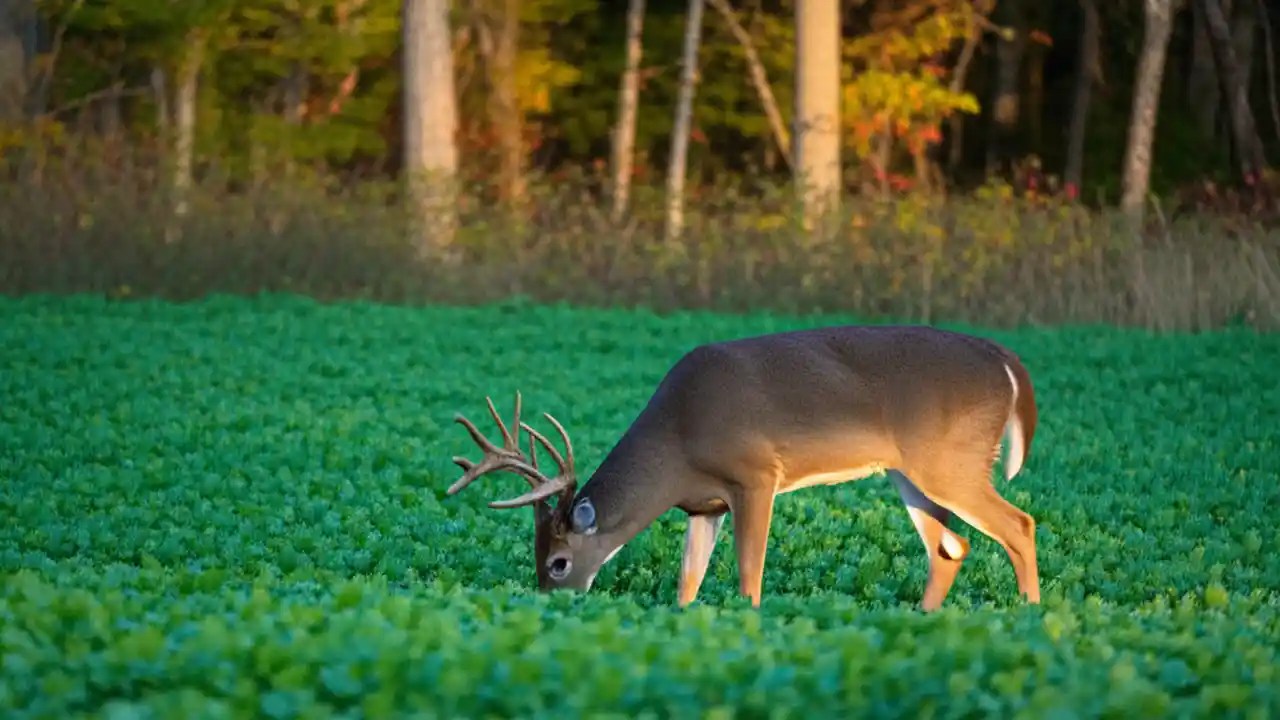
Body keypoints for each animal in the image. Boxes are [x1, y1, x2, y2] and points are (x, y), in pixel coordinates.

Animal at [445, 324, 1041, 612]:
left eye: (559, 563)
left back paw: (1031, 619)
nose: (552, 607)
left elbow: (748, 575)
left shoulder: (754, 475)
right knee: (951, 548)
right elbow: (688, 581)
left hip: (950, 460)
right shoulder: (702, 505)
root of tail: (1007, 361)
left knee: (1019, 524)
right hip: (909, 472)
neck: (679, 437)